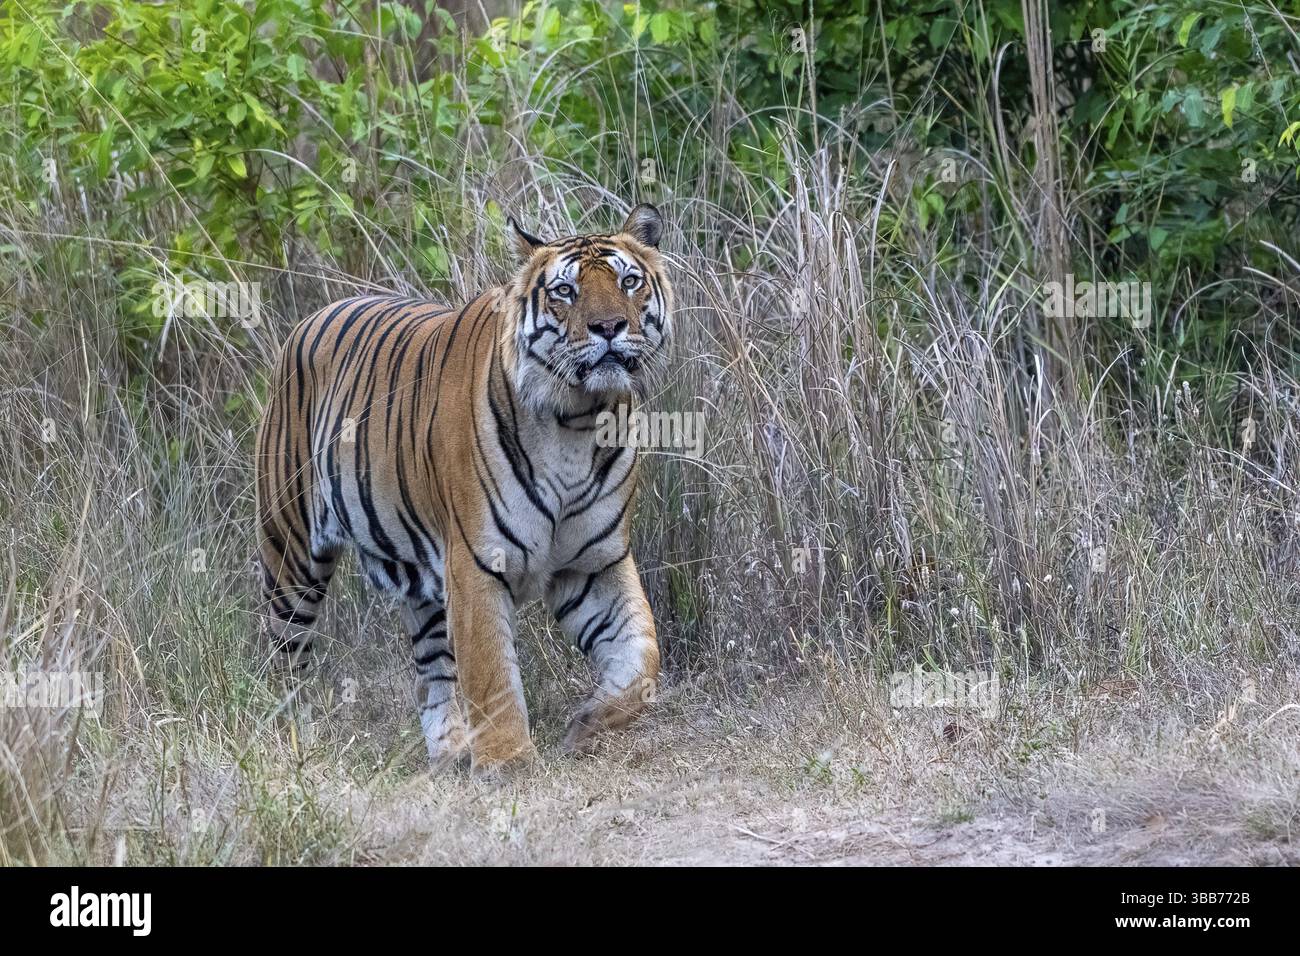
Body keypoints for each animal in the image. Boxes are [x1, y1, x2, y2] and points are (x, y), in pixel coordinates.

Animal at [254, 204, 672, 774]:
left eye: (629, 281)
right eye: (565, 291)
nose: (609, 327)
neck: (579, 421)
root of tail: (312, 316)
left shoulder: (595, 563)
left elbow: (641, 655)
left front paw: (587, 725)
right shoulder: (475, 562)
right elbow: (491, 673)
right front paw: (508, 763)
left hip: (420, 578)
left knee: (432, 674)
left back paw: (449, 752)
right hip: (292, 553)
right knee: (285, 653)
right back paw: (292, 739)